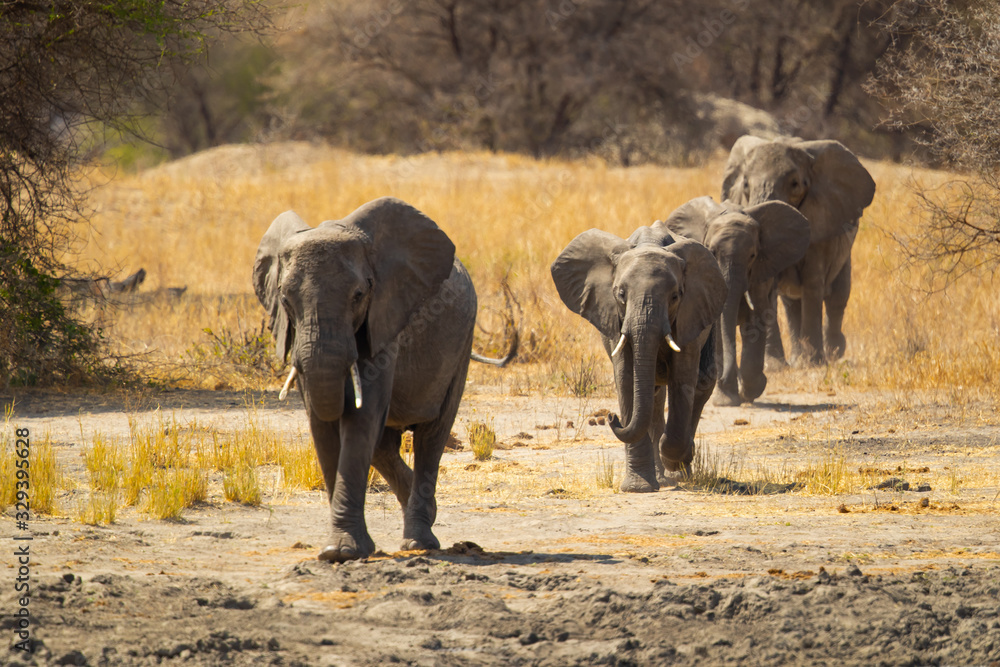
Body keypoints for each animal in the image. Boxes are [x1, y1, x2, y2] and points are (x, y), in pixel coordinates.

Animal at [253, 197, 514, 562]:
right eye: (285, 299)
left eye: (359, 295)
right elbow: (322, 420)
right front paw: (339, 551)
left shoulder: (386, 318)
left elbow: (361, 416)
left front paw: (343, 551)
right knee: (385, 444)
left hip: (462, 344)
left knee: (432, 436)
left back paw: (419, 542)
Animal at [551, 225, 727, 491]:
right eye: (621, 294)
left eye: (675, 297)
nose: (611, 417)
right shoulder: (614, 318)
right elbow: (626, 379)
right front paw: (638, 488)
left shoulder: (690, 312)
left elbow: (682, 378)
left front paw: (673, 458)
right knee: (653, 393)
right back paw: (662, 478)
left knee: (703, 380)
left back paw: (678, 470)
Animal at [661, 196, 810, 406]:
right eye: (712, 252)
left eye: (753, 255)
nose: (722, 378)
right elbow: (720, 327)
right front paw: (726, 399)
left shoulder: (759, 274)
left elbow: (756, 319)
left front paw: (751, 390)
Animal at [721, 136, 876, 365]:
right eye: (746, 184)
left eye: (795, 184)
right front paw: (775, 366)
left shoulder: (819, 227)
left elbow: (812, 284)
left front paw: (814, 363)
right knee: (792, 304)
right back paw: (797, 358)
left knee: (837, 296)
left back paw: (833, 353)